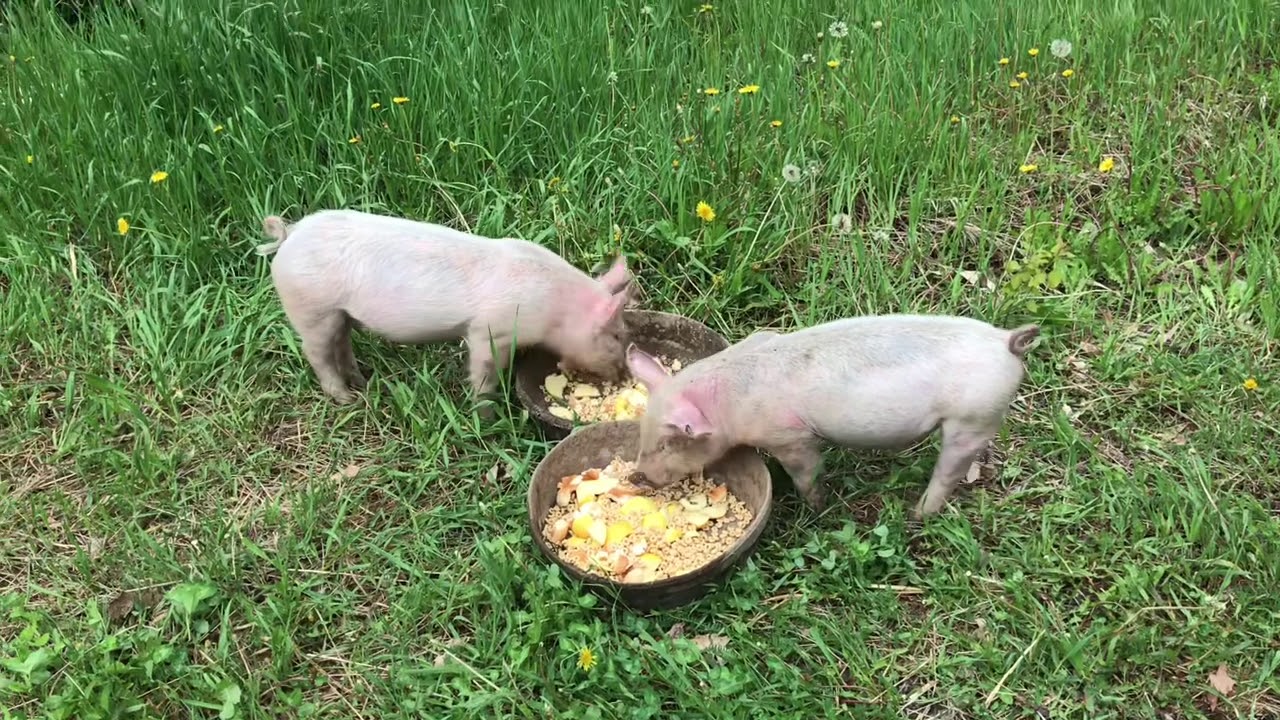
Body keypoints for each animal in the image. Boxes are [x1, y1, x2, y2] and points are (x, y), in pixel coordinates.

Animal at [255, 209, 634, 412]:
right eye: (616, 335)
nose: (622, 375)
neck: (556, 308)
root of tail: (290, 234)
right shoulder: (489, 332)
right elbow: (484, 371)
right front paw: (486, 410)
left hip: (339, 314)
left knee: (341, 343)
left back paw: (363, 382)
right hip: (311, 309)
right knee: (316, 352)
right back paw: (346, 399)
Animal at [623, 314, 1040, 519]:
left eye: (668, 443)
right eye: (642, 432)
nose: (636, 476)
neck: (731, 399)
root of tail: (1006, 342)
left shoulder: (789, 436)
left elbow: (806, 472)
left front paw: (817, 508)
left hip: (972, 417)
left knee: (948, 471)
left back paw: (917, 515)